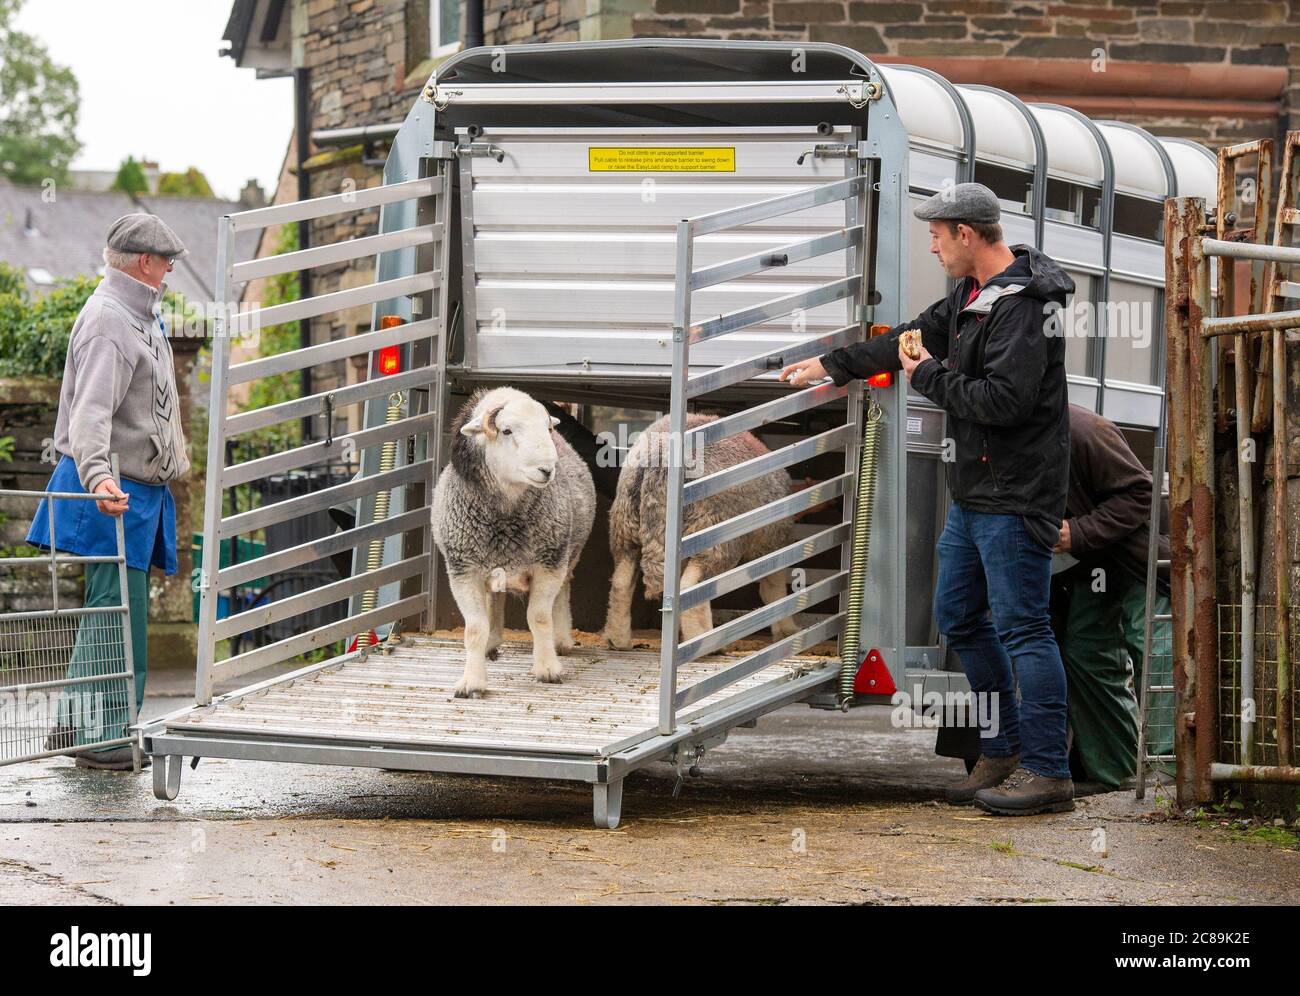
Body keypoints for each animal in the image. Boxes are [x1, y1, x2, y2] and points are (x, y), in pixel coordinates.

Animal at [433, 387, 596, 697]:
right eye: (506, 431)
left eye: (545, 428)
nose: (547, 470)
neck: (504, 518)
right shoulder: (462, 570)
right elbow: (474, 629)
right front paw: (471, 682)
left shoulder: (549, 564)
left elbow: (539, 617)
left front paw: (547, 669)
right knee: (494, 601)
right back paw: (492, 642)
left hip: (568, 554)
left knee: (562, 594)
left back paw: (561, 640)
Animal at [603, 412, 800, 650]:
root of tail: (659, 456)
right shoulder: (774, 543)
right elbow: (774, 590)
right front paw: (787, 631)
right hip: (714, 535)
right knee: (691, 587)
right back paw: (706, 643)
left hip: (626, 526)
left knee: (621, 582)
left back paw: (618, 639)